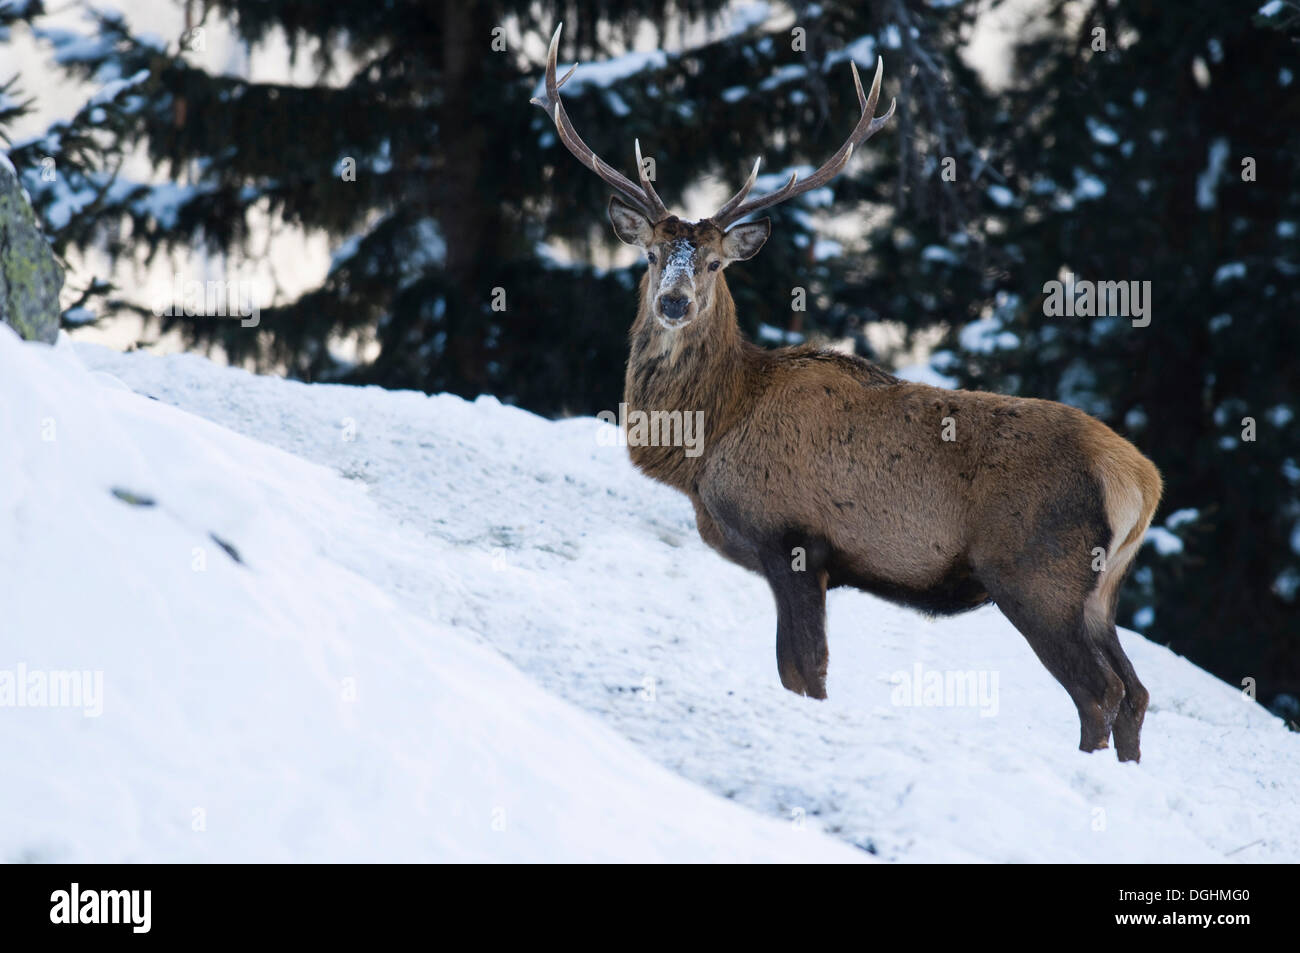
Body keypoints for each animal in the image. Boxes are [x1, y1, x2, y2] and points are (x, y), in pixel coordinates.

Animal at [532, 24, 1162, 762]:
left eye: (714, 263)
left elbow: (804, 673)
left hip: (1039, 575)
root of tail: (1141, 480)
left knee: (1100, 693)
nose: (674, 302)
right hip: (1101, 592)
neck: (710, 435)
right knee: (1136, 692)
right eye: (654, 255)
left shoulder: (793, 538)